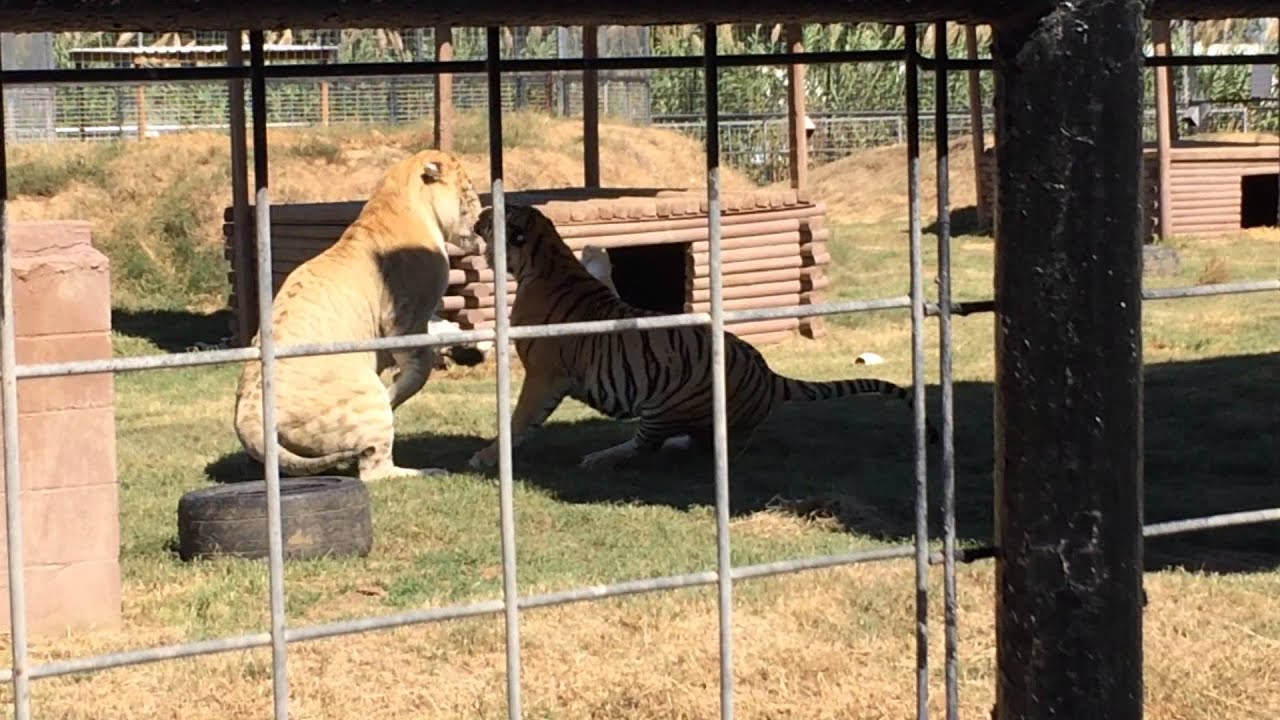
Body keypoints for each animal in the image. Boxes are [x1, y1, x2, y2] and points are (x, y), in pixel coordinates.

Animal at [234, 148, 483, 482]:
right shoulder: (402, 318)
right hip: (366, 398)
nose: (483, 215)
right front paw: (399, 389)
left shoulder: (421, 315)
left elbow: (445, 327)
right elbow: (420, 368)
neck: (394, 199)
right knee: (374, 470)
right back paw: (425, 471)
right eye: (469, 191)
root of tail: (248, 418)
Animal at [466, 203, 934, 471]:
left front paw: (486, 457)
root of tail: (770, 377)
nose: (477, 218)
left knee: (649, 447)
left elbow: (518, 419)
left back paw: (598, 458)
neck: (545, 257)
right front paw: (597, 252)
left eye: (492, 218)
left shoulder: (542, 374)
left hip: (663, 402)